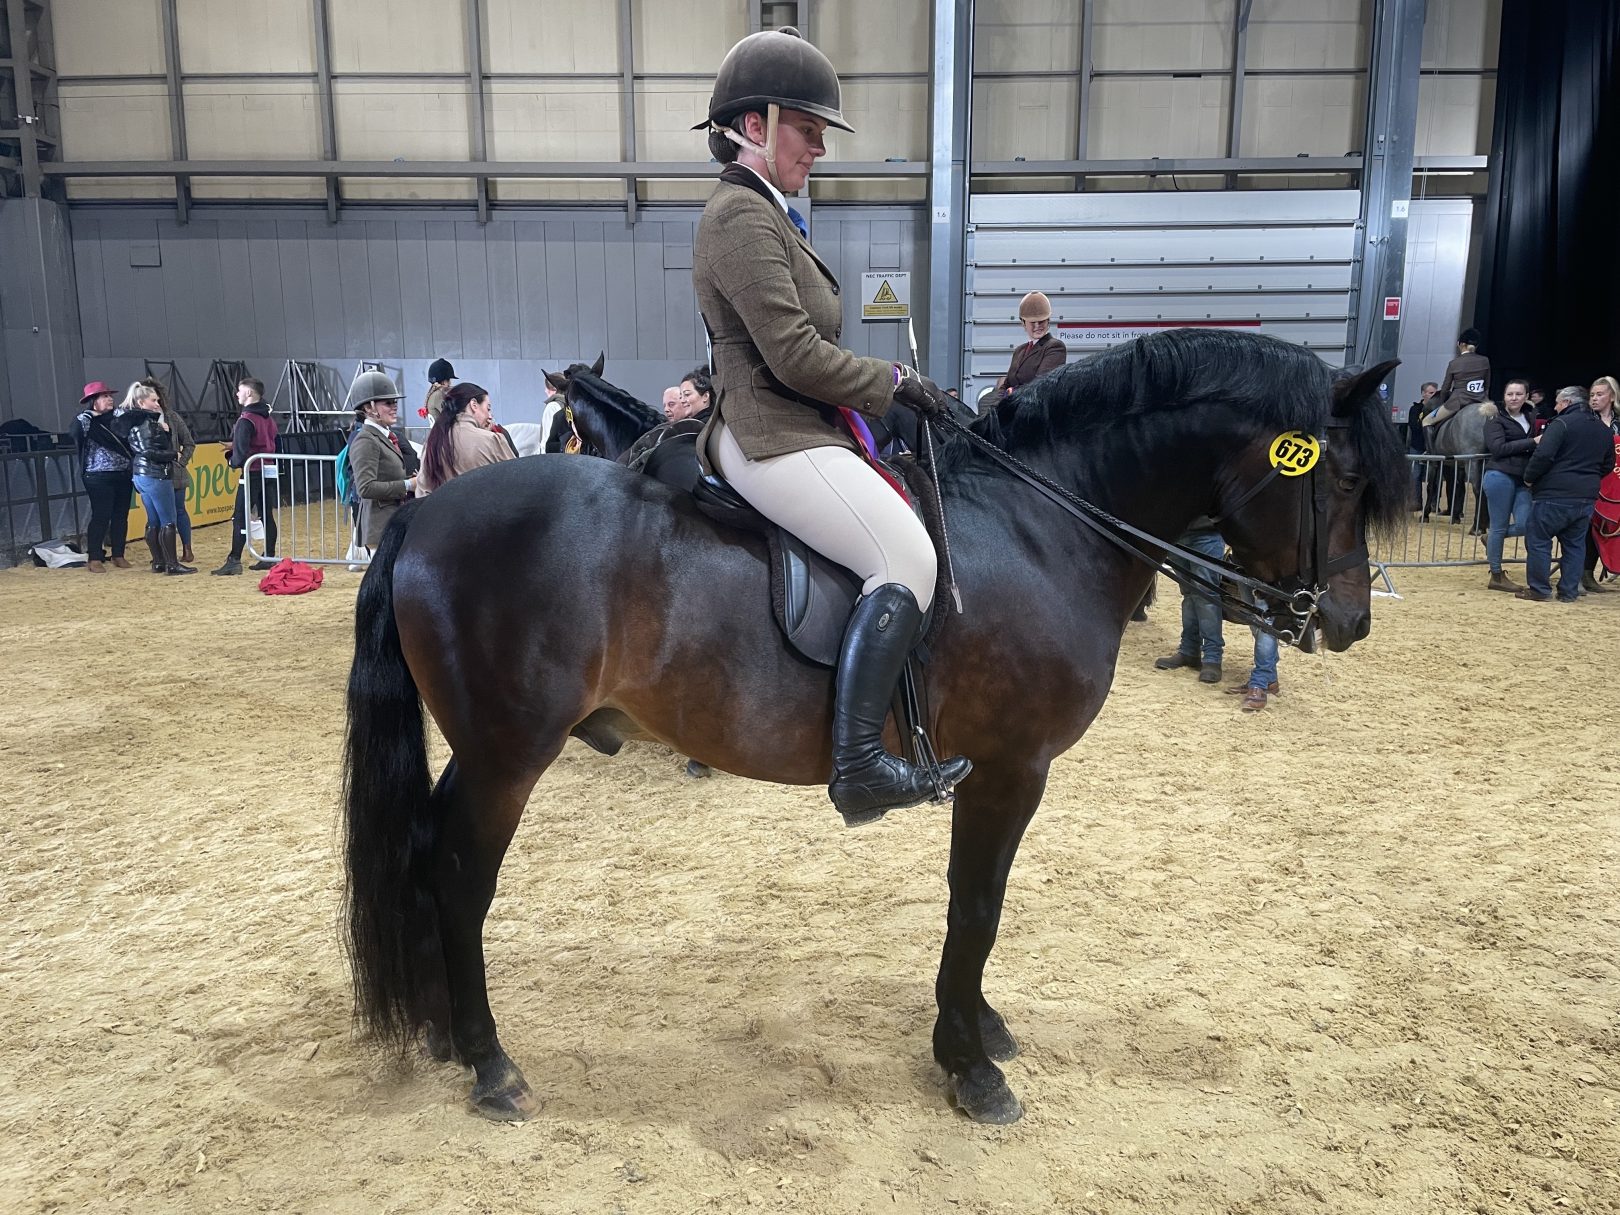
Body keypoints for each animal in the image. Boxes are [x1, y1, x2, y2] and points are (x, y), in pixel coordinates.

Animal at [341, 328, 1407, 1126]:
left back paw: (443, 1029)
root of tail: (427, 518)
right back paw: (491, 1063)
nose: (1349, 621)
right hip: (507, 756)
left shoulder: (997, 772)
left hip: (482, 754)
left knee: (429, 859)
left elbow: (978, 906)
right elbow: (978, 907)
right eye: (1349, 481)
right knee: (459, 878)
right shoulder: (1010, 769)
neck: (1042, 523)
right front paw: (969, 1064)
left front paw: (980, 1027)